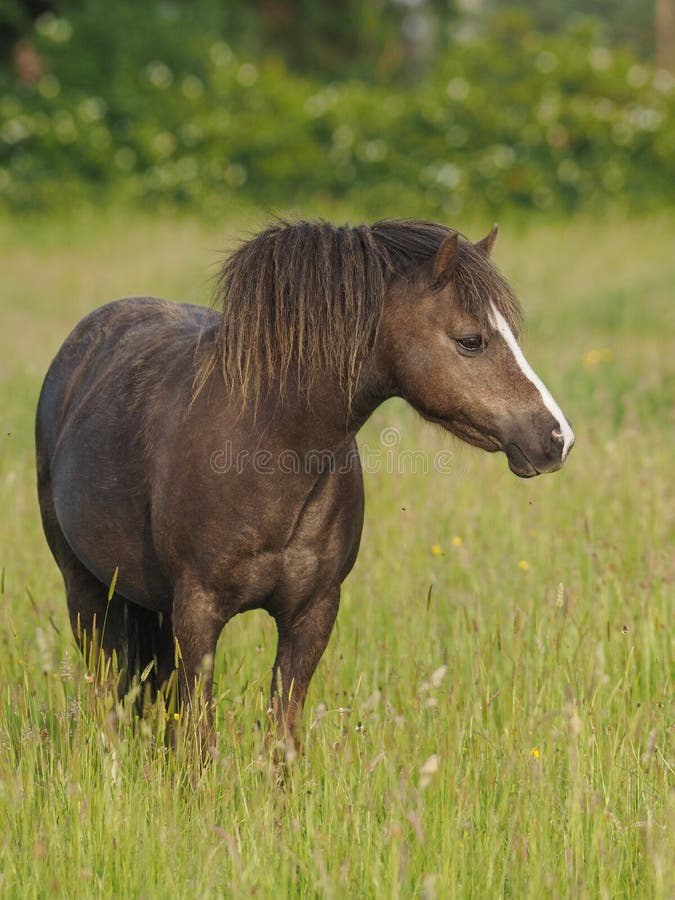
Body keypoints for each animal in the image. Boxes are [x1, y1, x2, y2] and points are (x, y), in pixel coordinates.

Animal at [35, 219, 574, 755]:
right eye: (471, 340)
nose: (557, 438)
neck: (270, 449)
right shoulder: (197, 612)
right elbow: (200, 737)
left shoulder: (312, 613)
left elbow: (282, 737)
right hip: (86, 590)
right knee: (106, 690)